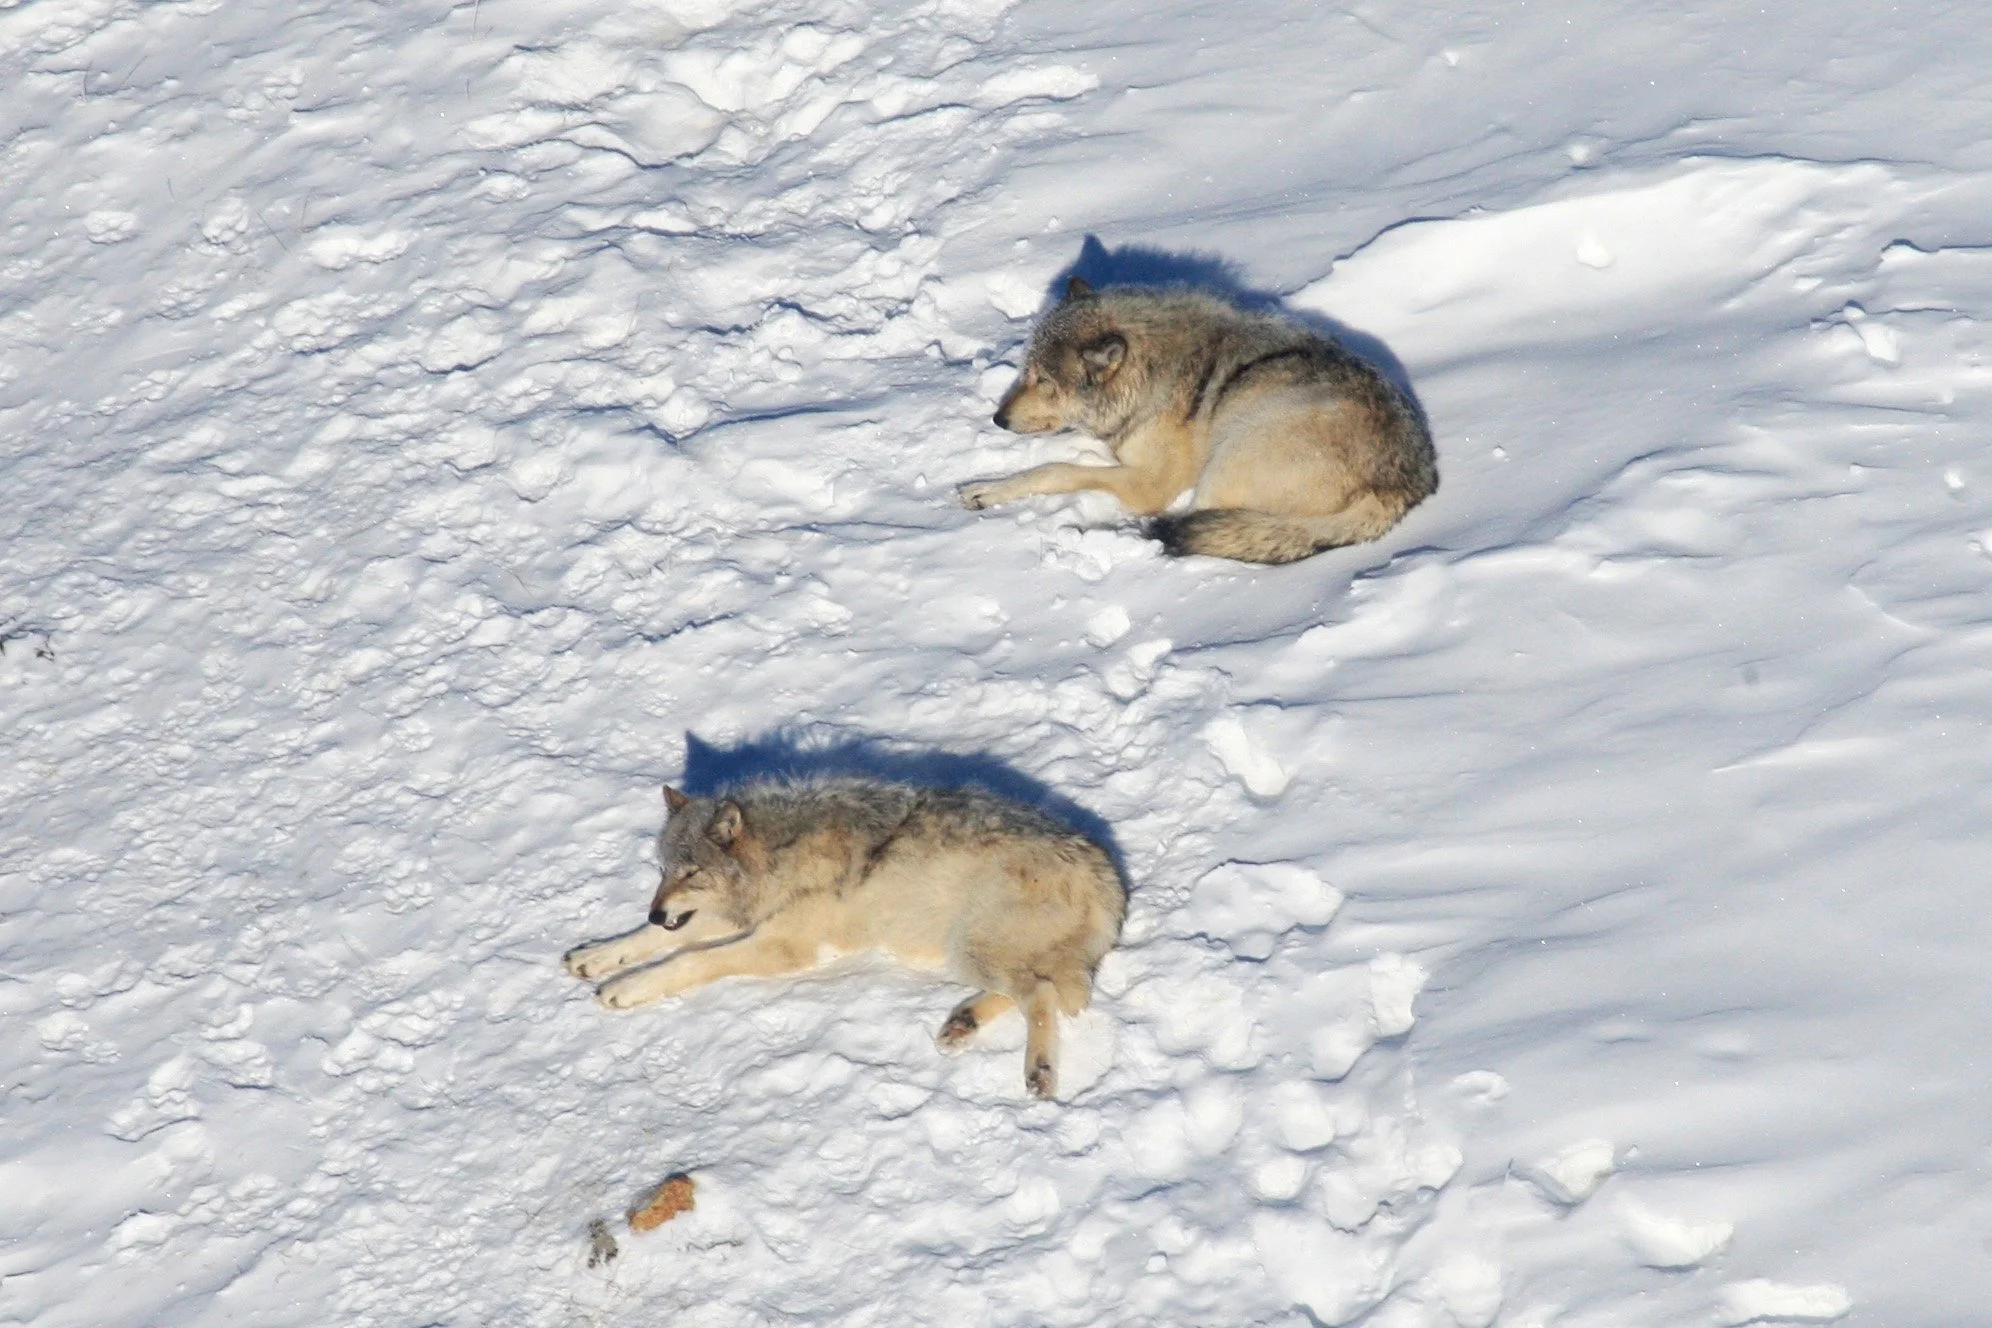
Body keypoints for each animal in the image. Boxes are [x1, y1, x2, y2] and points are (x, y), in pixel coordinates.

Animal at [563, 776, 1126, 1100]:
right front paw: (596, 956)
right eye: (662, 870)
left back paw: (1040, 1072)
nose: (657, 911)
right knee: (1035, 988)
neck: (778, 853)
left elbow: (687, 960)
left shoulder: (782, 945)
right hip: (967, 950)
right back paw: (962, 1023)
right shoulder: (742, 917)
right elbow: (651, 941)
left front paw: (626, 988)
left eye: (691, 872)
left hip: (972, 943)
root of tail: (1106, 875)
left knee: (1043, 994)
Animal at [959, 278, 1437, 564]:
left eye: (1044, 381)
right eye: (1024, 371)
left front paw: (986, 490)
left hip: (1230, 456)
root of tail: (1401, 487)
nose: (998, 419)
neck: (1150, 375)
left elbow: (1055, 469)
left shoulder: (1150, 484)